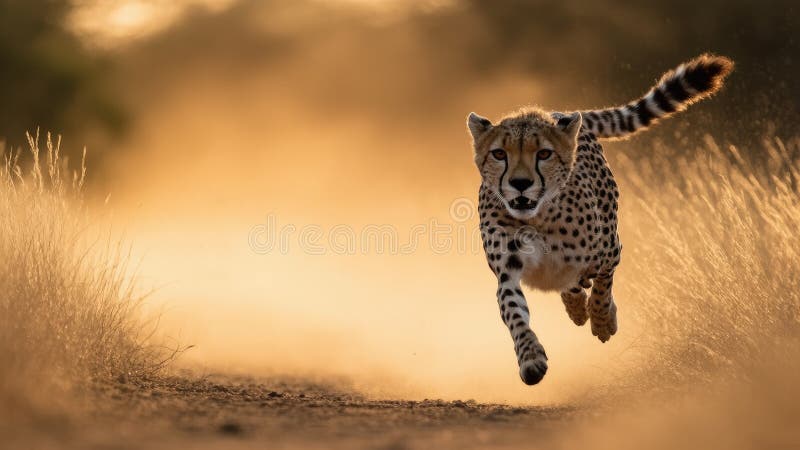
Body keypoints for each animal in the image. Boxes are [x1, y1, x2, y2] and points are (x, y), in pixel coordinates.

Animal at [466, 54, 733, 385]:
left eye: (544, 154)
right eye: (499, 154)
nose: (520, 183)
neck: (538, 217)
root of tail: (560, 114)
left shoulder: (609, 251)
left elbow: (604, 286)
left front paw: (603, 320)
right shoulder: (507, 271)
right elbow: (515, 313)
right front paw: (531, 358)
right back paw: (575, 307)